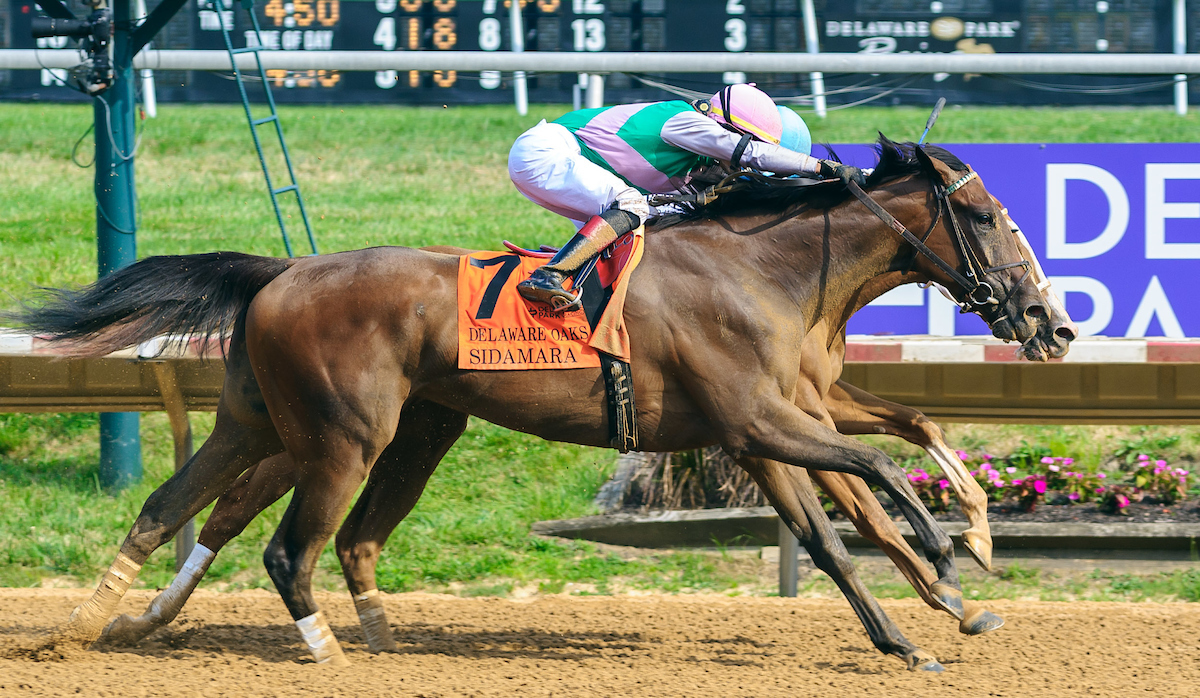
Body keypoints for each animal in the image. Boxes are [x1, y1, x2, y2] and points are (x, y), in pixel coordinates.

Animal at [14, 137, 1050, 671]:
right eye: (987, 215)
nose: (1047, 320)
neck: (765, 270)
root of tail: (281, 271)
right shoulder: (763, 420)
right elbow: (872, 476)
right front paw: (950, 552)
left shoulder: (765, 428)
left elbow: (841, 527)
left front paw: (920, 625)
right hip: (345, 434)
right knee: (285, 544)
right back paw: (329, 655)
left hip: (281, 420)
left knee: (179, 509)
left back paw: (93, 628)